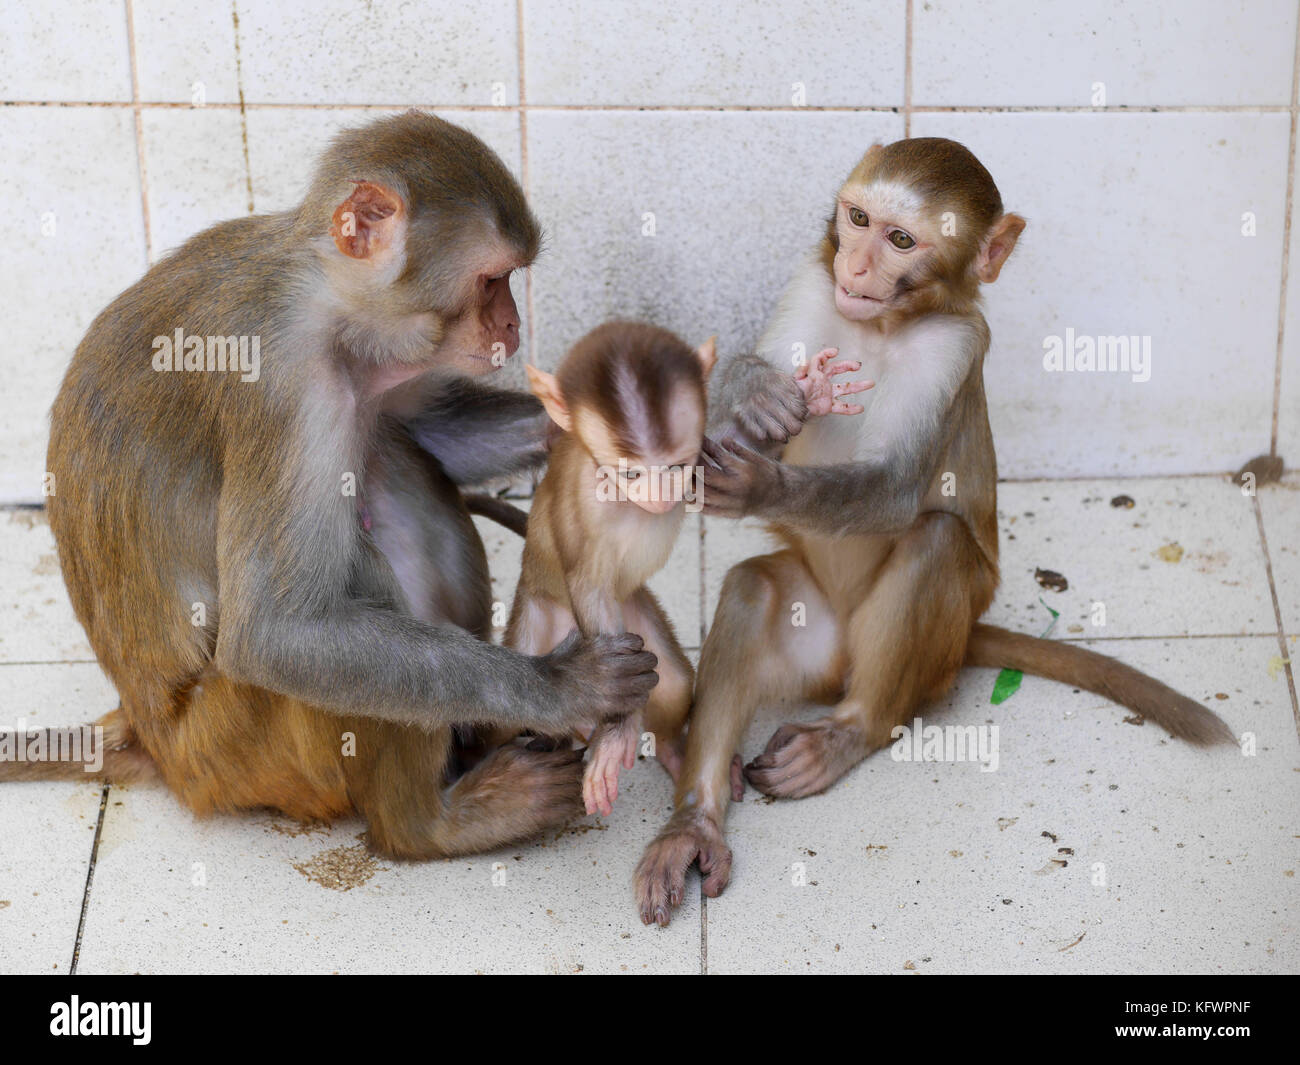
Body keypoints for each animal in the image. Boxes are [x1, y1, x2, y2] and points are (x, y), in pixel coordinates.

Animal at [14, 111, 662, 860]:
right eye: (491, 280)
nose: (512, 324)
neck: (322, 299)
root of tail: (151, 736)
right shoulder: (284, 381)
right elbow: (275, 633)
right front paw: (562, 687)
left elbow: (424, 430)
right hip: (239, 748)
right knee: (352, 564)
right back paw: (431, 823)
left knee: (392, 450)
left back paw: (473, 742)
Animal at [634, 137, 1234, 926]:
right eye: (857, 218)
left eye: (900, 240)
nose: (857, 268)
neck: (880, 324)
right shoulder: (810, 283)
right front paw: (755, 390)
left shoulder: (955, 345)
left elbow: (894, 491)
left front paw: (762, 485)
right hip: (812, 636)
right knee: (753, 589)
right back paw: (695, 824)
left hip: (912, 657)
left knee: (935, 547)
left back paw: (850, 732)